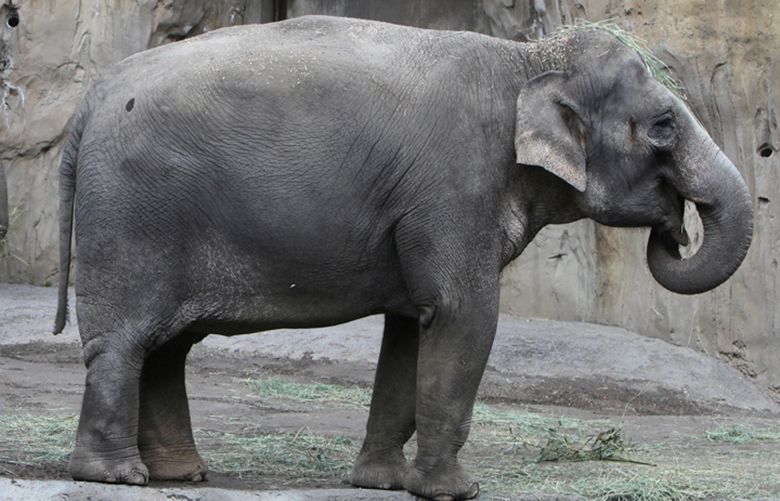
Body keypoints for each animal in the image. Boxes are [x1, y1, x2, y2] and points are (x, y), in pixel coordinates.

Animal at [53, 16, 753, 500]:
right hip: (134, 215)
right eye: (663, 125)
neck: (525, 60)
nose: (674, 228)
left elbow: (412, 331)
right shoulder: (454, 187)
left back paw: (182, 474)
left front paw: (382, 483)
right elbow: (465, 317)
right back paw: (117, 476)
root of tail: (92, 98)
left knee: (168, 347)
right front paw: (455, 491)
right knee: (127, 342)